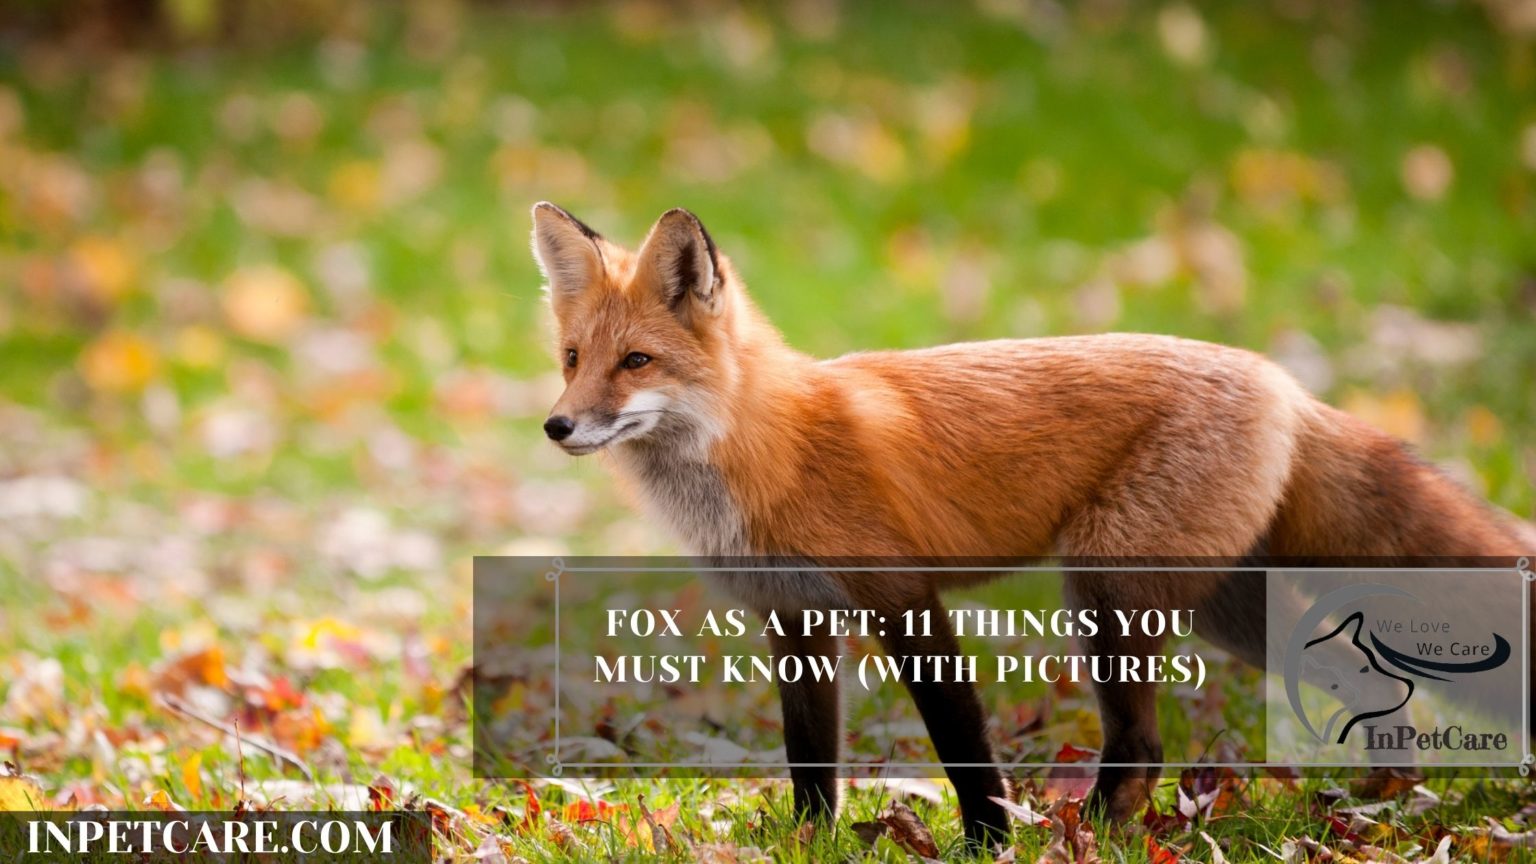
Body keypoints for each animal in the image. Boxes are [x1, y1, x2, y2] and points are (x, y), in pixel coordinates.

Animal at [531, 201, 1536, 847]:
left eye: (636, 361)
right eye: (574, 358)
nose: (557, 426)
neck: (765, 448)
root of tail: (1281, 380)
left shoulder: (904, 598)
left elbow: (963, 747)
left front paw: (988, 841)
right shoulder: (798, 622)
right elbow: (809, 762)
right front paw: (810, 844)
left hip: (1108, 591)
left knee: (1145, 744)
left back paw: (1088, 834)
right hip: (1215, 607)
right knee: (1354, 683)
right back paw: (1384, 799)